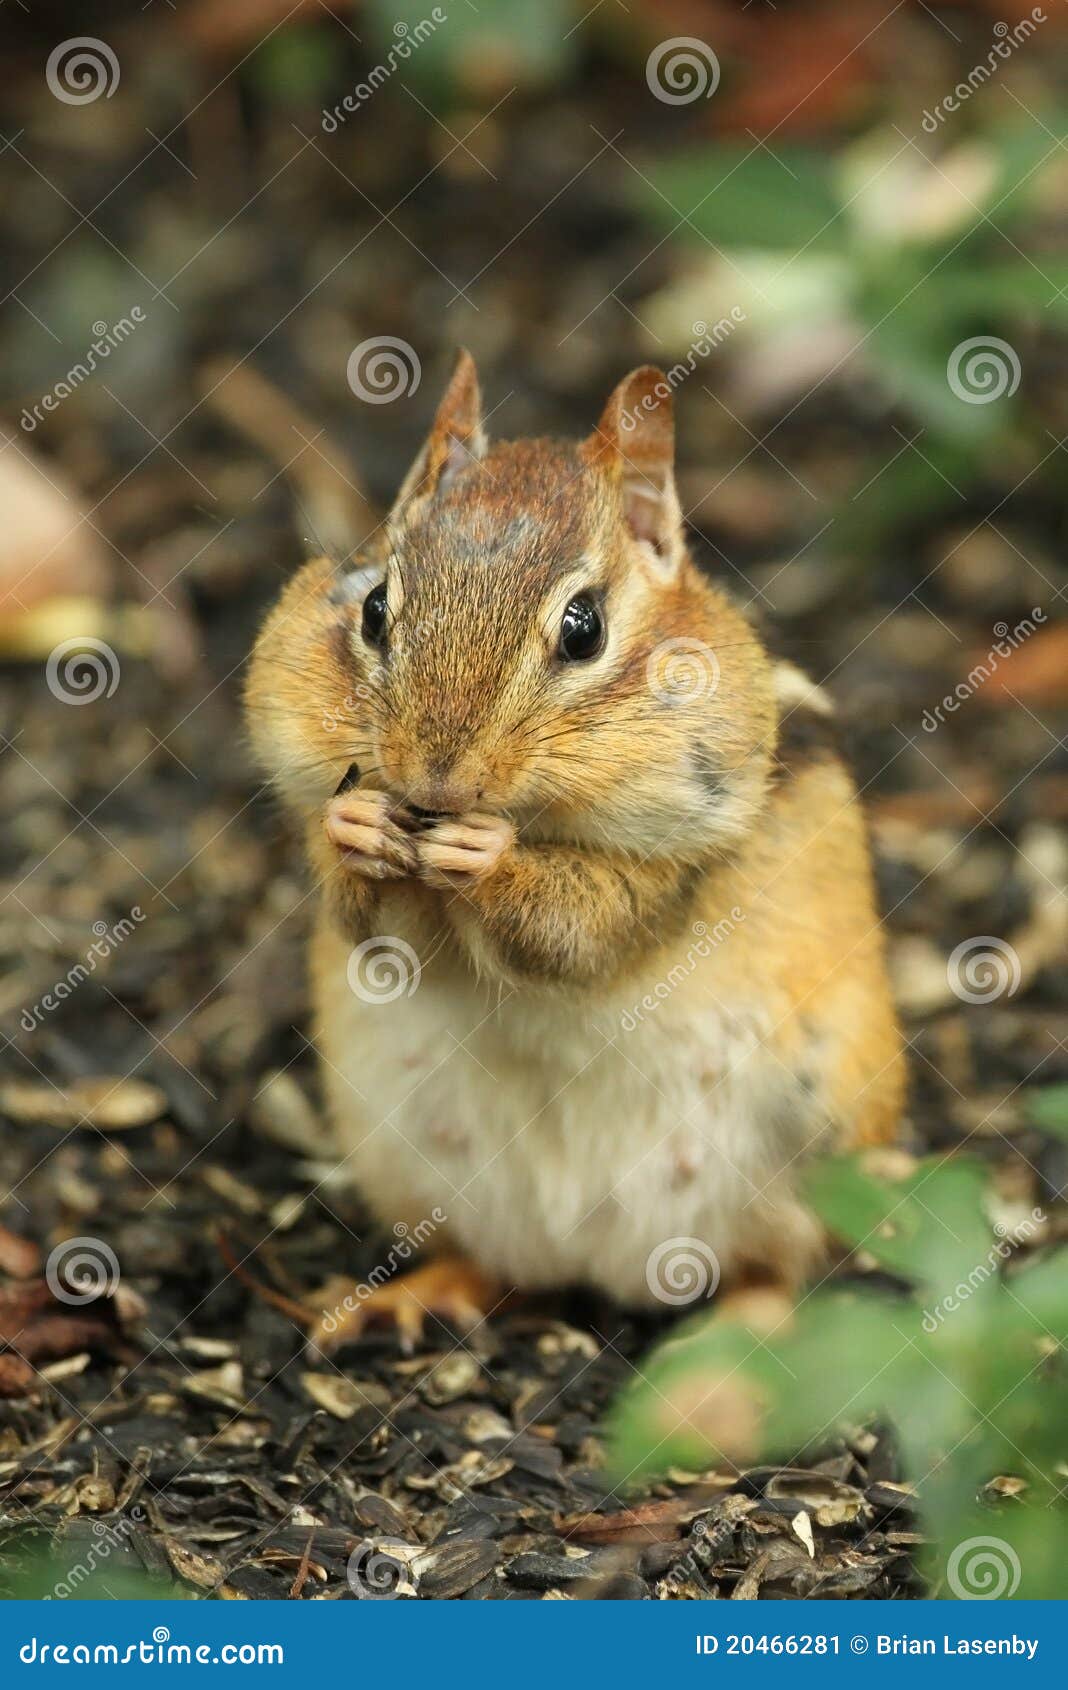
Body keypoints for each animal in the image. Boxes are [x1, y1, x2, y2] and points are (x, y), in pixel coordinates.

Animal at [246, 351, 904, 1355]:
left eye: (583, 627)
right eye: (373, 608)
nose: (435, 782)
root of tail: (600, 1250)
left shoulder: (681, 859)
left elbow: (587, 928)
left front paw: (490, 856)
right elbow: (375, 925)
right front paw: (351, 829)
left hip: (822, 1136)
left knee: (780, 1265)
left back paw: (741, 1331)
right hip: (401, 1151)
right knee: (489, 1265)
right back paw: (402, 1297)